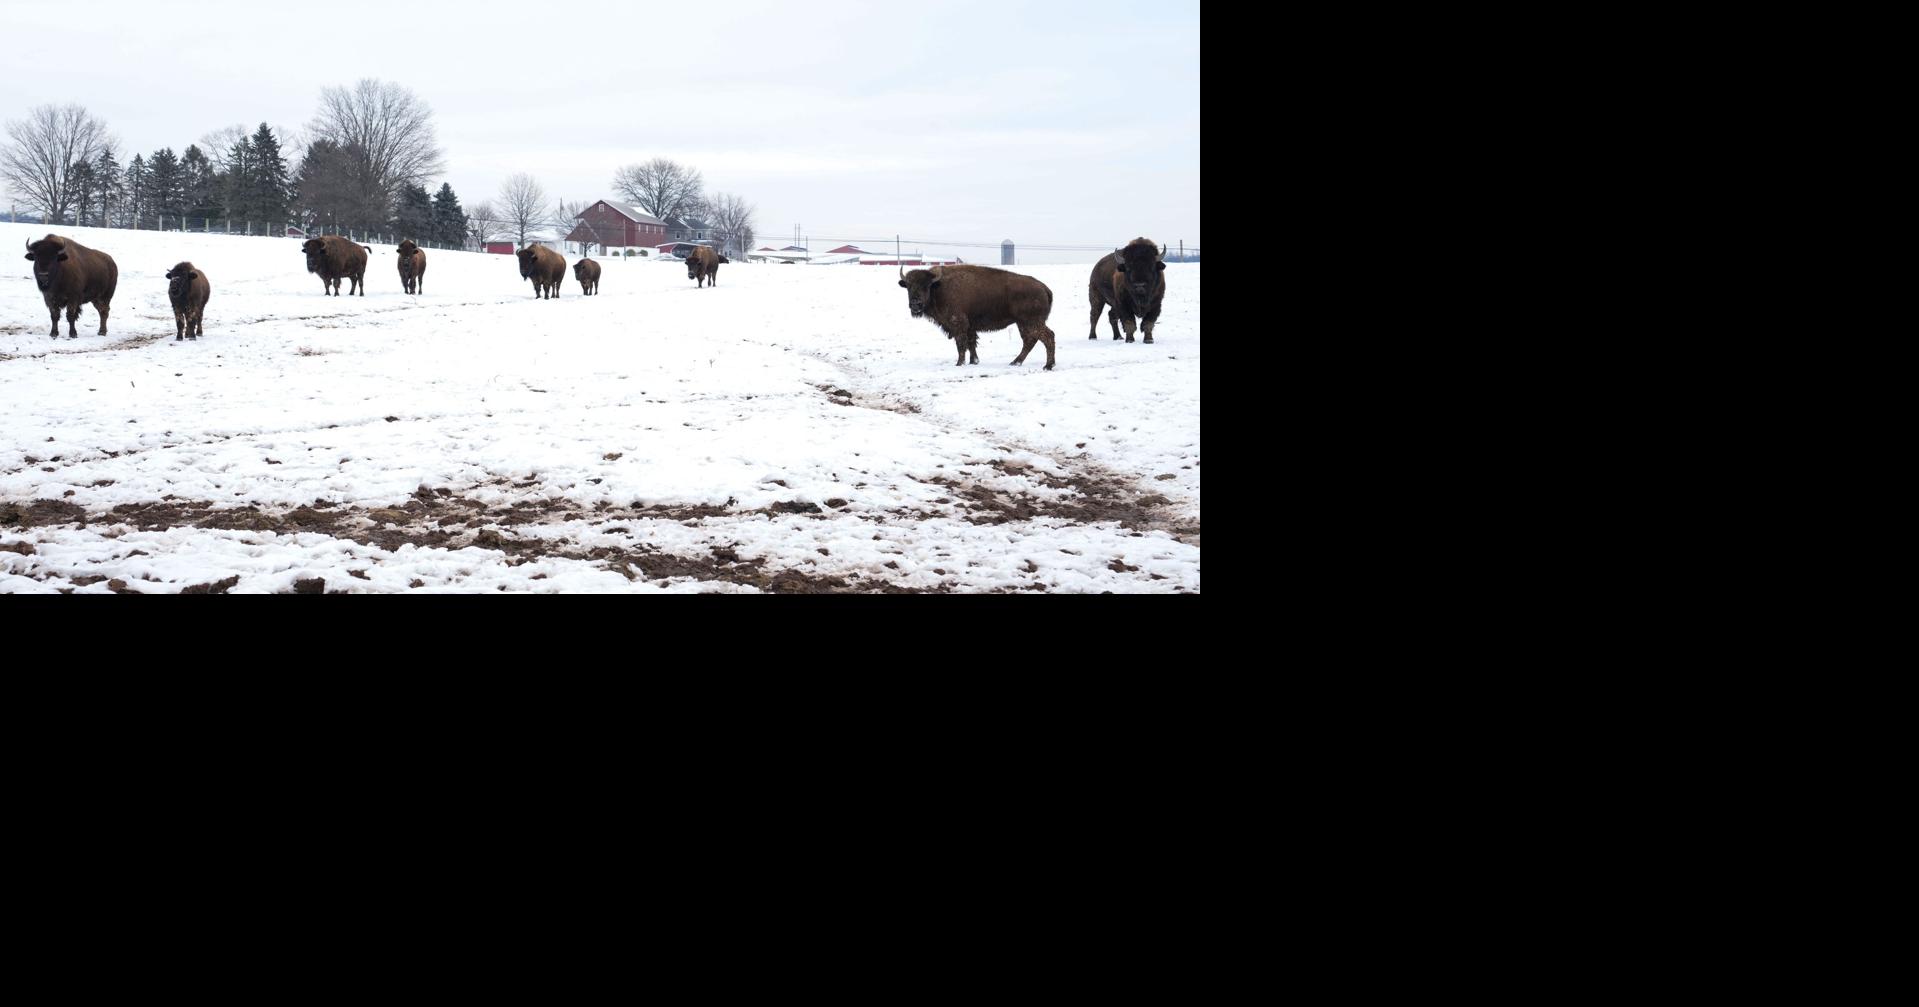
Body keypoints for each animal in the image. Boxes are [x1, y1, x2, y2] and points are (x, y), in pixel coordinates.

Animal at [899, 264, 1057, 370]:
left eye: (926, 286)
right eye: (909, 286)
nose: (915, 304)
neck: (938, 287)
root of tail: (1045, 288)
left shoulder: (958, 324)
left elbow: (961, 344)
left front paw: (959, 363)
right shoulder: (970, 327)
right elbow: (971, 343)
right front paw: (973, 361)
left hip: (1031, 322)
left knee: (1047, 337)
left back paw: (1048, 366)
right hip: (1023, 324)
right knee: (1030, 341)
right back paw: (1015, 362)